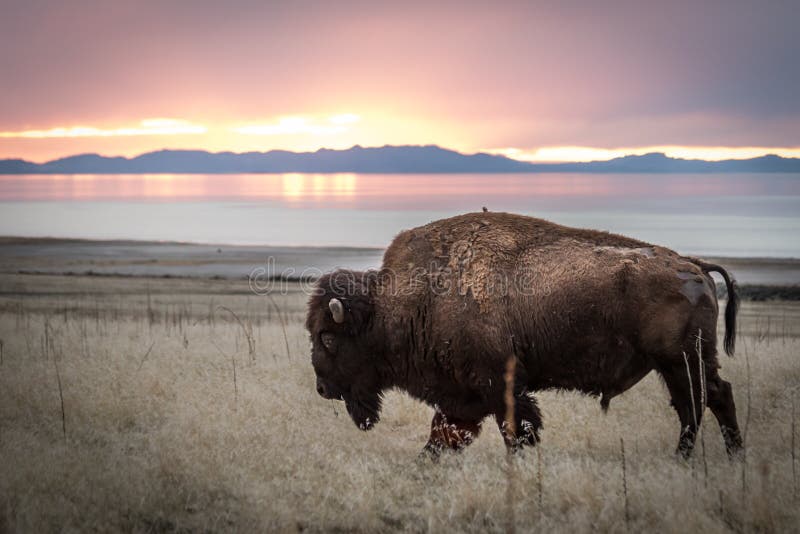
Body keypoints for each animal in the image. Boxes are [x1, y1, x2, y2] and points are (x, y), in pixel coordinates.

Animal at [306, 212, 742, 458]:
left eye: (327, 337)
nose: (323, 389)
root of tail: (693, 265)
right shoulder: (462, 398)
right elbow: (439, 440)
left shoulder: (500, 388)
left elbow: (516, 433)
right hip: (680, 363)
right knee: (705, 400)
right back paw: (724, 457)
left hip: (681, 361)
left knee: (703, 401)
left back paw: (696, 458)